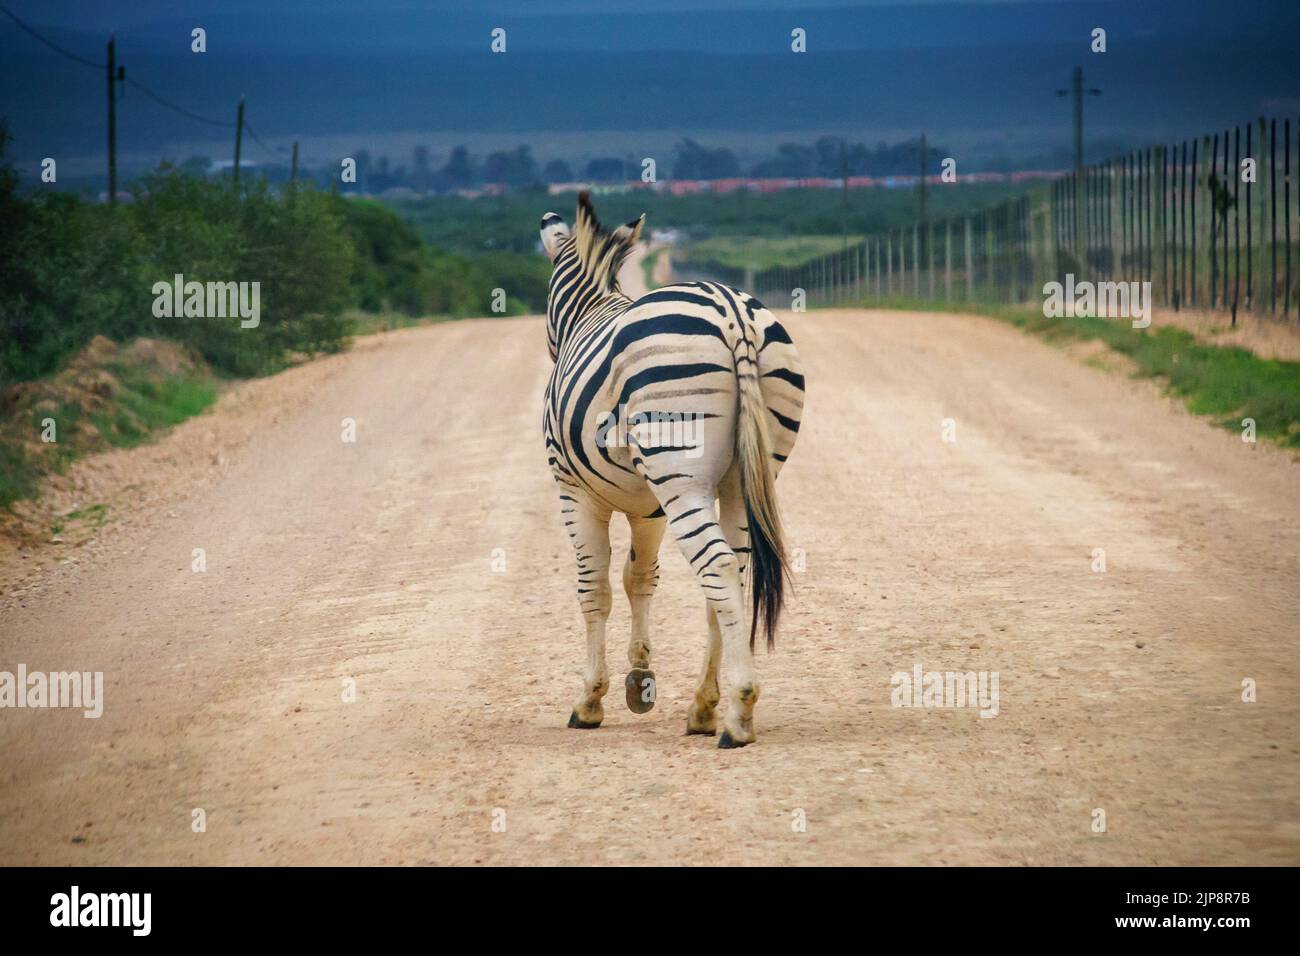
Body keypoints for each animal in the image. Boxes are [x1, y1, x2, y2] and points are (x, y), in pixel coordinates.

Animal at [539, 193, 805, 748]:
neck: (589, 314)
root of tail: (732, 312)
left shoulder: (574, 491)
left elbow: (594, 588)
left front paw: (590, 700)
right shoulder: (649, 507)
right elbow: (640, 577)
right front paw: (639, 679)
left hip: (681, 478)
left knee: (718, 565)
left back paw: (739, 714)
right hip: (742, 477)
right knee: (732, 573)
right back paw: (704, 708)